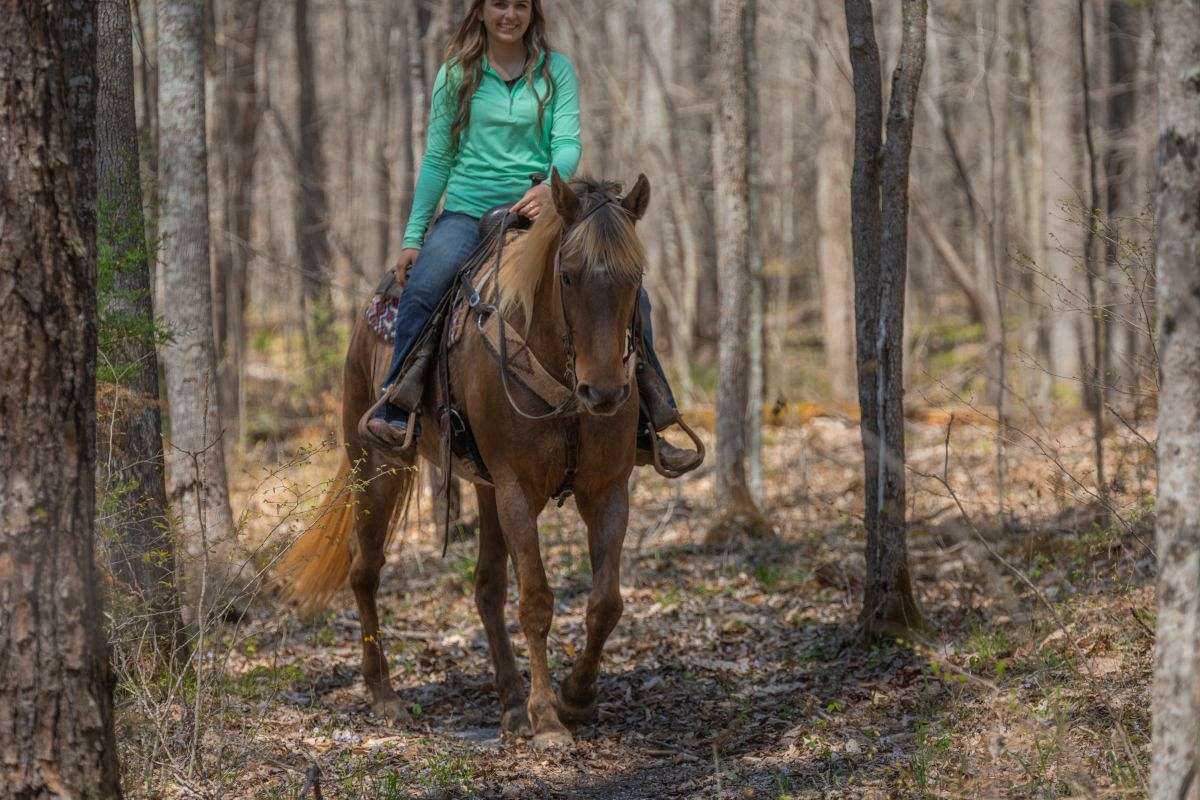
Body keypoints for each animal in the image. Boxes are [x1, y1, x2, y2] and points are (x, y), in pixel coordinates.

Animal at [278, 171, 651, 748]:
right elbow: (536, 600)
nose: (606, 392)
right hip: (378, 464)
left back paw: (511, 704)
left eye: (636, 277)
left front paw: (577, 697)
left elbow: (606, 601)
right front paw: (549, 720)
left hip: (483, 485)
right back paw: (385, 695)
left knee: (486, 589)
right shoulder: (517, 489)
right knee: (365, 571)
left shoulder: (607, 489)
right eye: (567, 276)